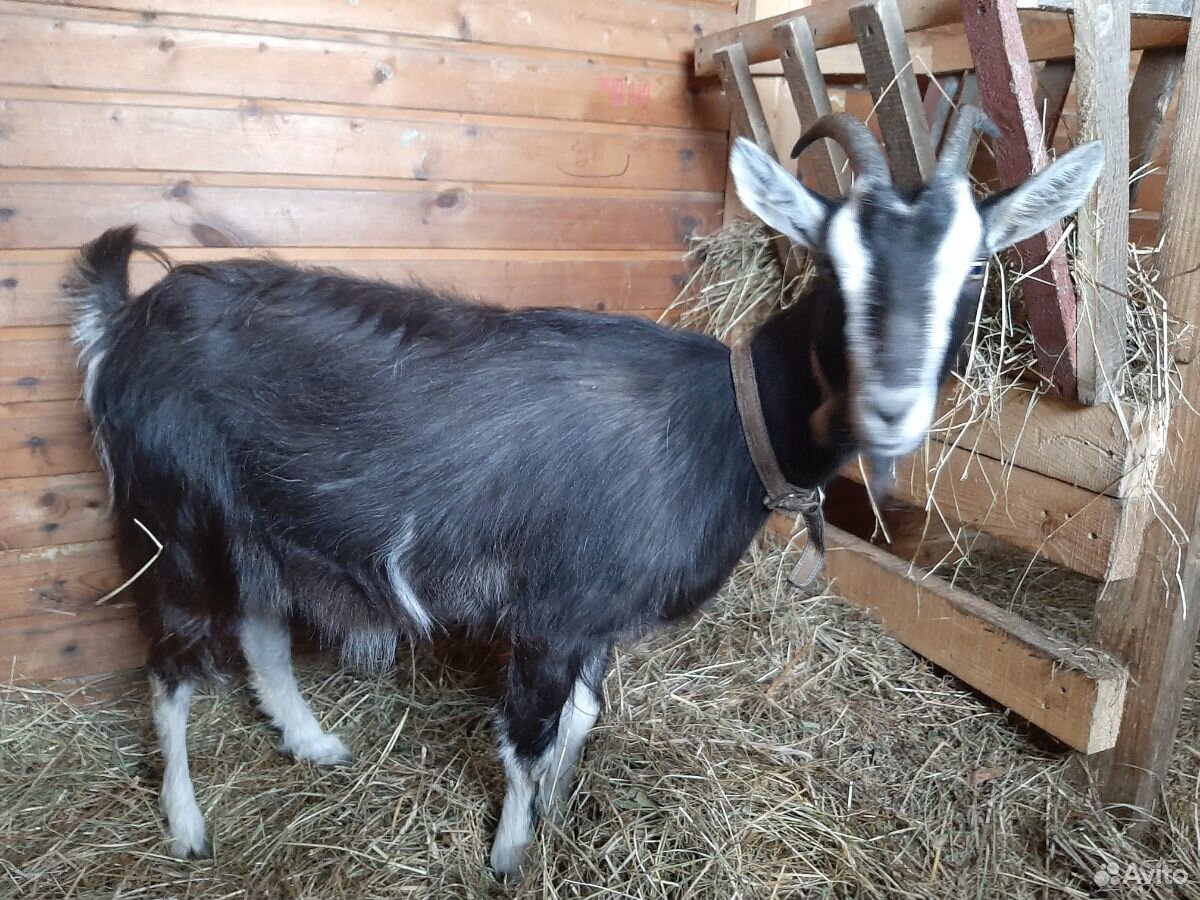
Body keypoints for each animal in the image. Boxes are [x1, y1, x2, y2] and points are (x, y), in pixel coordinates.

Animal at [66, 107, 1102, 877]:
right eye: (831, 266)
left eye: (974, 267)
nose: (891, 408)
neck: (724, 425)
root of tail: (123, 321)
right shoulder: (553, 613)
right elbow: (528, 736)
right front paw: (509, 857)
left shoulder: (599, 617)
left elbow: (584, 717)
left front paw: (560, 814)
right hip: (168, 517)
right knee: (170, 664)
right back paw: (187, 827)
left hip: (259, 520)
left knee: (260, 627)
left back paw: (313, 745)